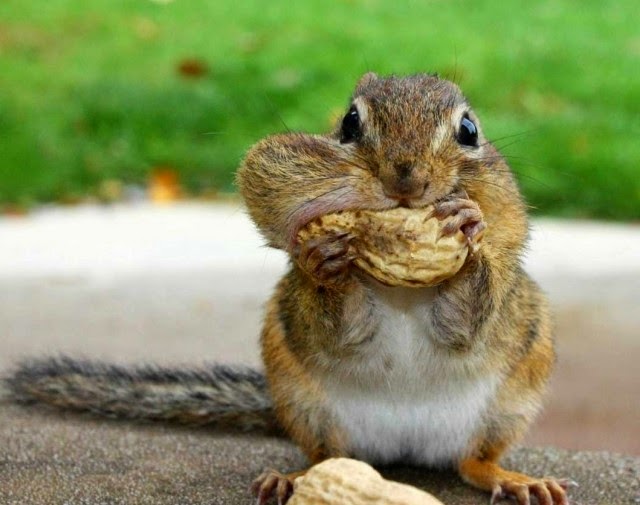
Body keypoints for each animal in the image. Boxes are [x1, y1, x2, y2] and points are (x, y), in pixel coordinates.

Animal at [5, 73, 572, 505]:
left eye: (469, 130)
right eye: (349, 123)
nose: (405, 180)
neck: (401, 293)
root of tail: (403, 449)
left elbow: (464, 324)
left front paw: (468, 229)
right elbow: (343, 328)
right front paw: (326, 261)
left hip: (508, 405)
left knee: (471, 462)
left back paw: (512, 479)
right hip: (304, 403)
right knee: (328, 456)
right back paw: (294, 478)